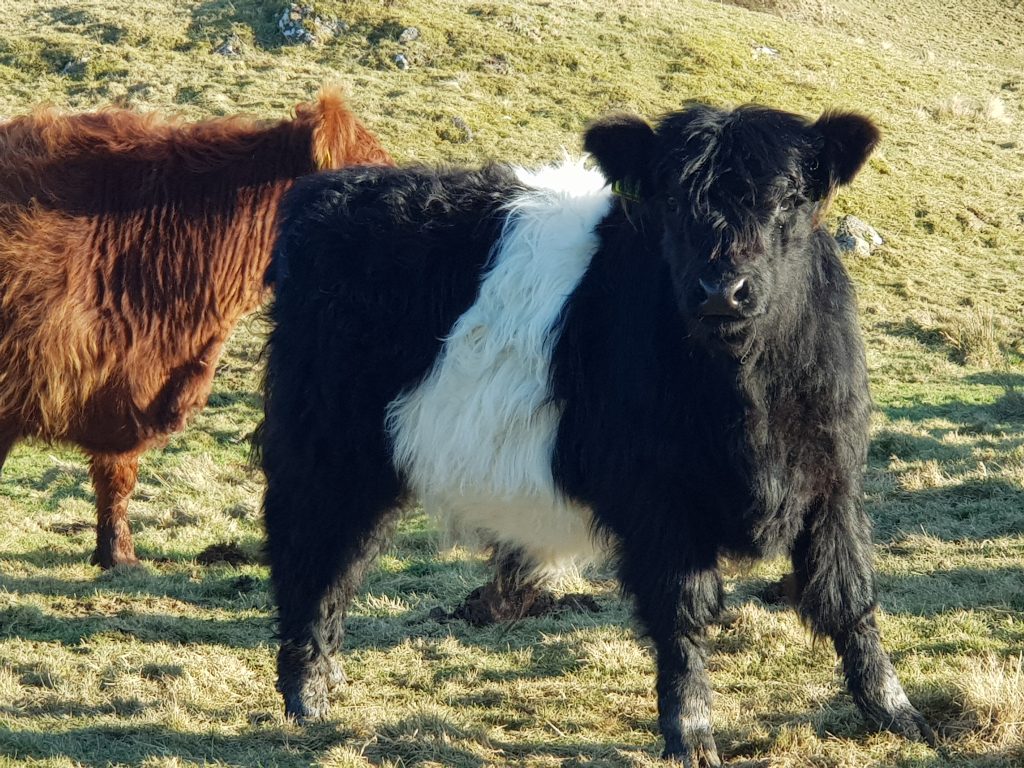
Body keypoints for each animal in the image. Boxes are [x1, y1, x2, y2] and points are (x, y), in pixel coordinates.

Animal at [256, 102, 934, 764]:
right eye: (669, 200)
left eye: (791, 197)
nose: (722, 292)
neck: (750, 403)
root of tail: (327, 192)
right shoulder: (658, 500)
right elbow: (682, 611)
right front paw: (691, 736)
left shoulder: (831, 481)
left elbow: (849, 599)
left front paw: (900, 716)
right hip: (323, 450)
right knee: (312, 559)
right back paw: (307, 693)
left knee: (341, 560)